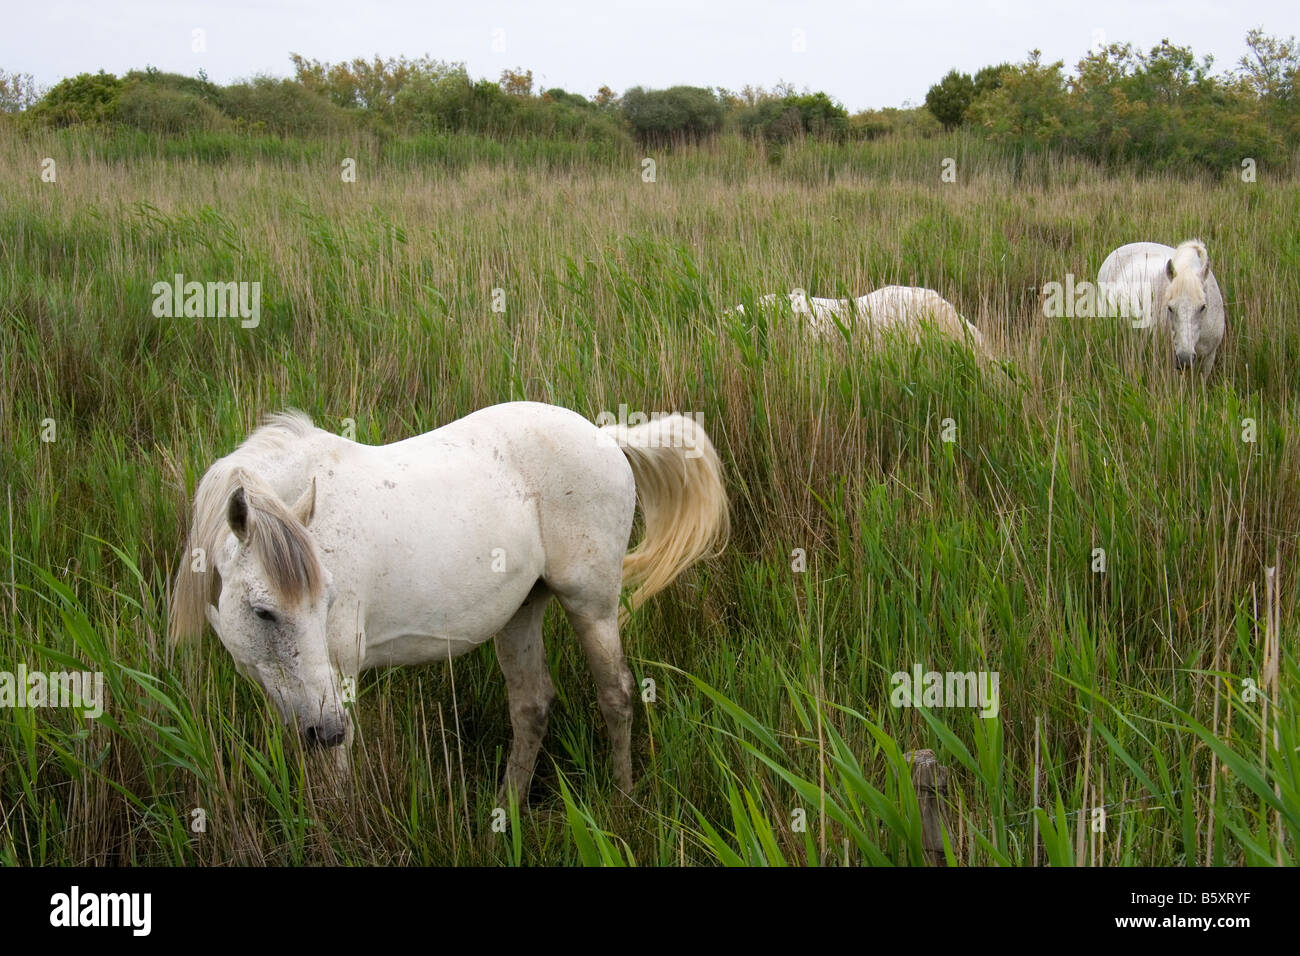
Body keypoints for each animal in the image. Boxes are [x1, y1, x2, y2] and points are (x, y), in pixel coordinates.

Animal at [169, 401, 729, 798]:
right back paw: (506, 813)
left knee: (616, 694)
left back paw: (622, 800)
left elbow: (336, 776)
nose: (327, 730)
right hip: (521, 610)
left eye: (327, 602)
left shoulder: (338, 676)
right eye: (263, 612)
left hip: (591, 605)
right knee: (531, 706)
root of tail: (605, 436)